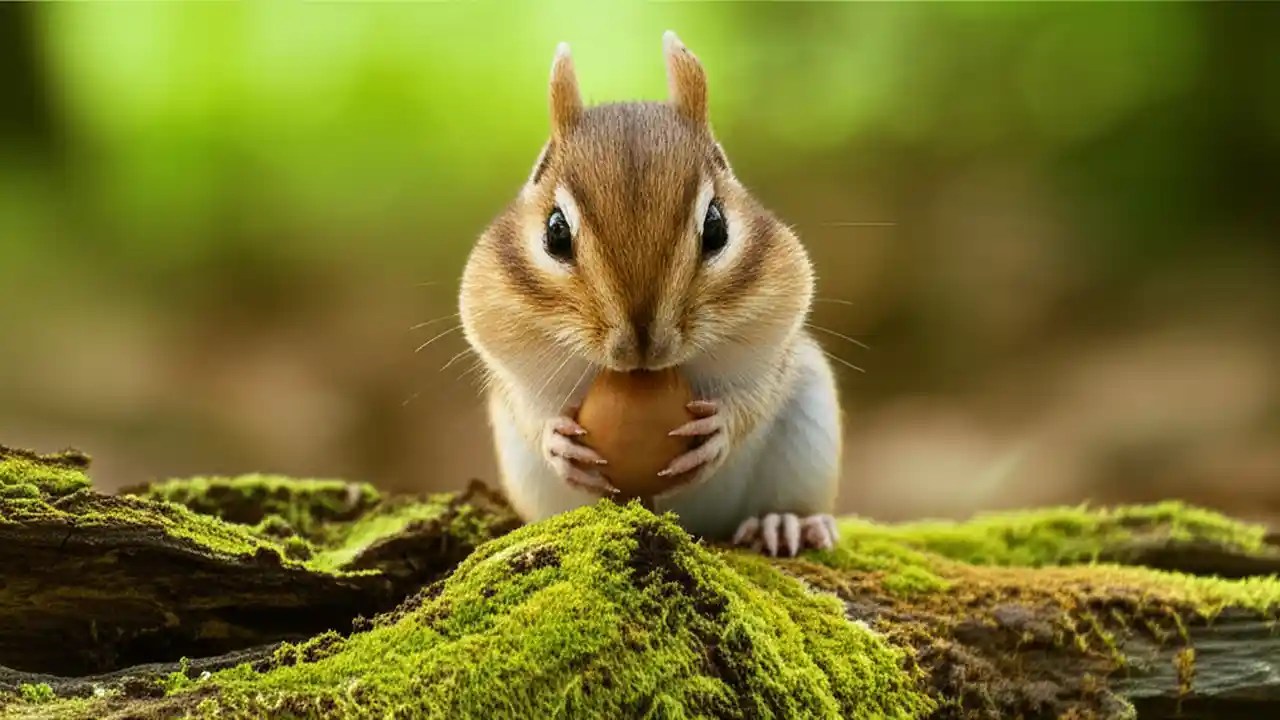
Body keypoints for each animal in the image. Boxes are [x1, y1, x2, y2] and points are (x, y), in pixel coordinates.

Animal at [458, 32, 841, 557]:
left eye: (716, 227)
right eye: (555, 232)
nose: (641, 347)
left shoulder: (776, 340)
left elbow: (754, 397)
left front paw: (719, 429)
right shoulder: (508, 362)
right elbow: (531, 409)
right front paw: (557, 440)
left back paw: (783, 523)